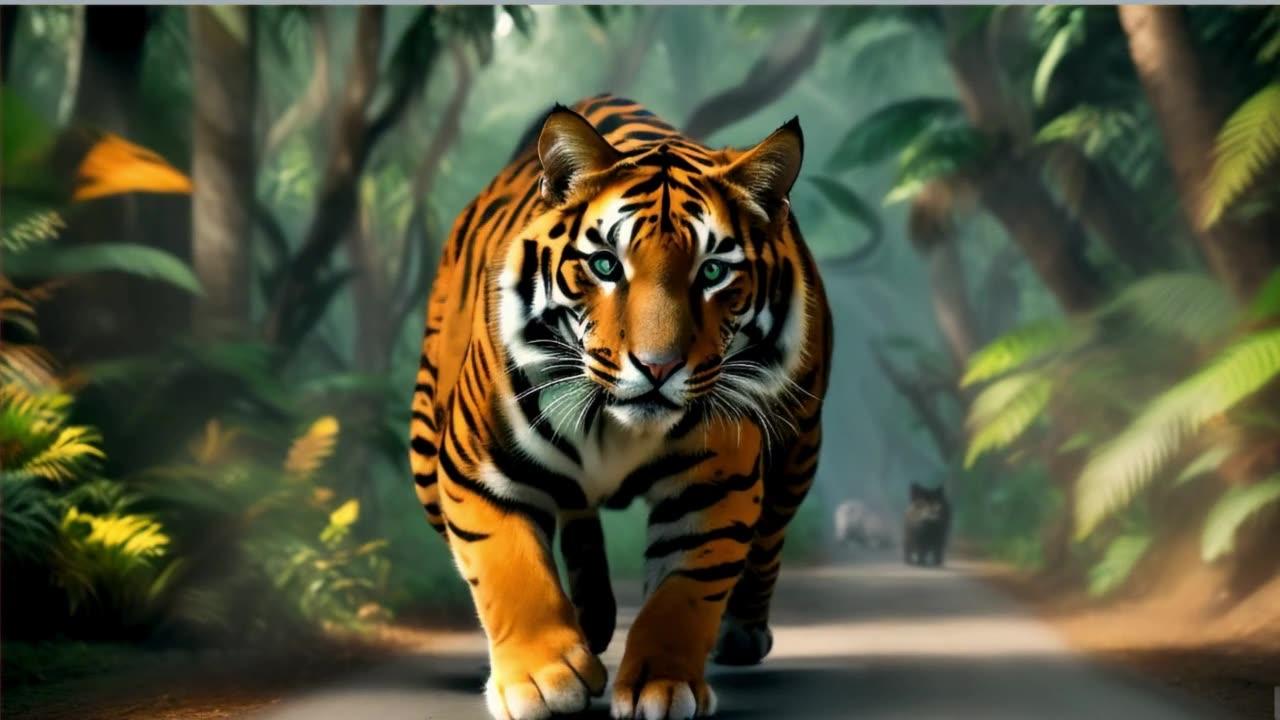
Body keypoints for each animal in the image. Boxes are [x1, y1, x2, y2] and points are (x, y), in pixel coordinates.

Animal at [408, 95, 831, 720]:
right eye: (606, 265)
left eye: (712, 271)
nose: (658, 367)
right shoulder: (476, 471)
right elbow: (510, 573)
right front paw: (541, 678)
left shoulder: (714, 485)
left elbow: (683, 596)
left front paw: (663, 683)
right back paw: (588, 623)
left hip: (800, 439)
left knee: (771, 534)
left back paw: (741, 629)